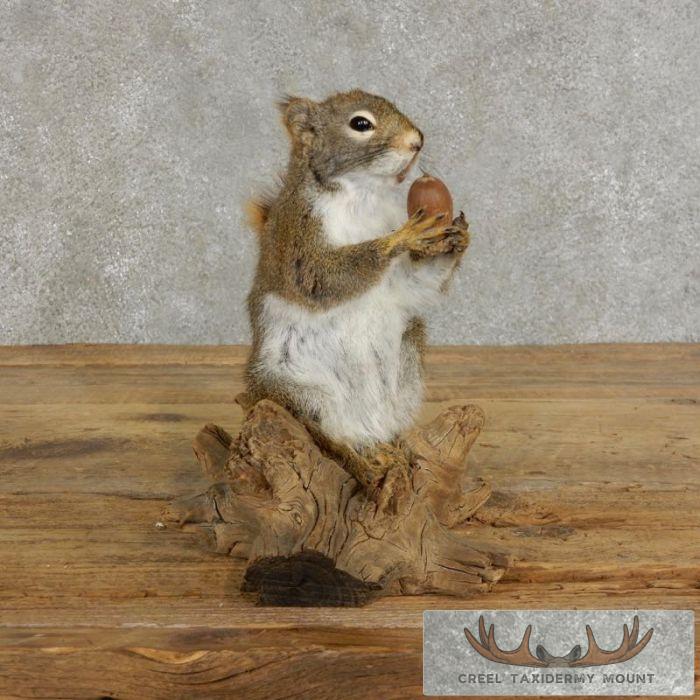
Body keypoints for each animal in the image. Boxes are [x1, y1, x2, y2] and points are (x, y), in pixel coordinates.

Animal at [243, 89, 470, 495]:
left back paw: (385, 450)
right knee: (326, 435)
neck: (363, 195)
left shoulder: (399, 280)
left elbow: (413, 284)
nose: (417, 141)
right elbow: (322, 276)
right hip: (295, 392)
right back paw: (363, 463)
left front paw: (457, 238)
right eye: (360, 123)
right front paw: (404, 236)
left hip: (406, 372)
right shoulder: (299, 239)